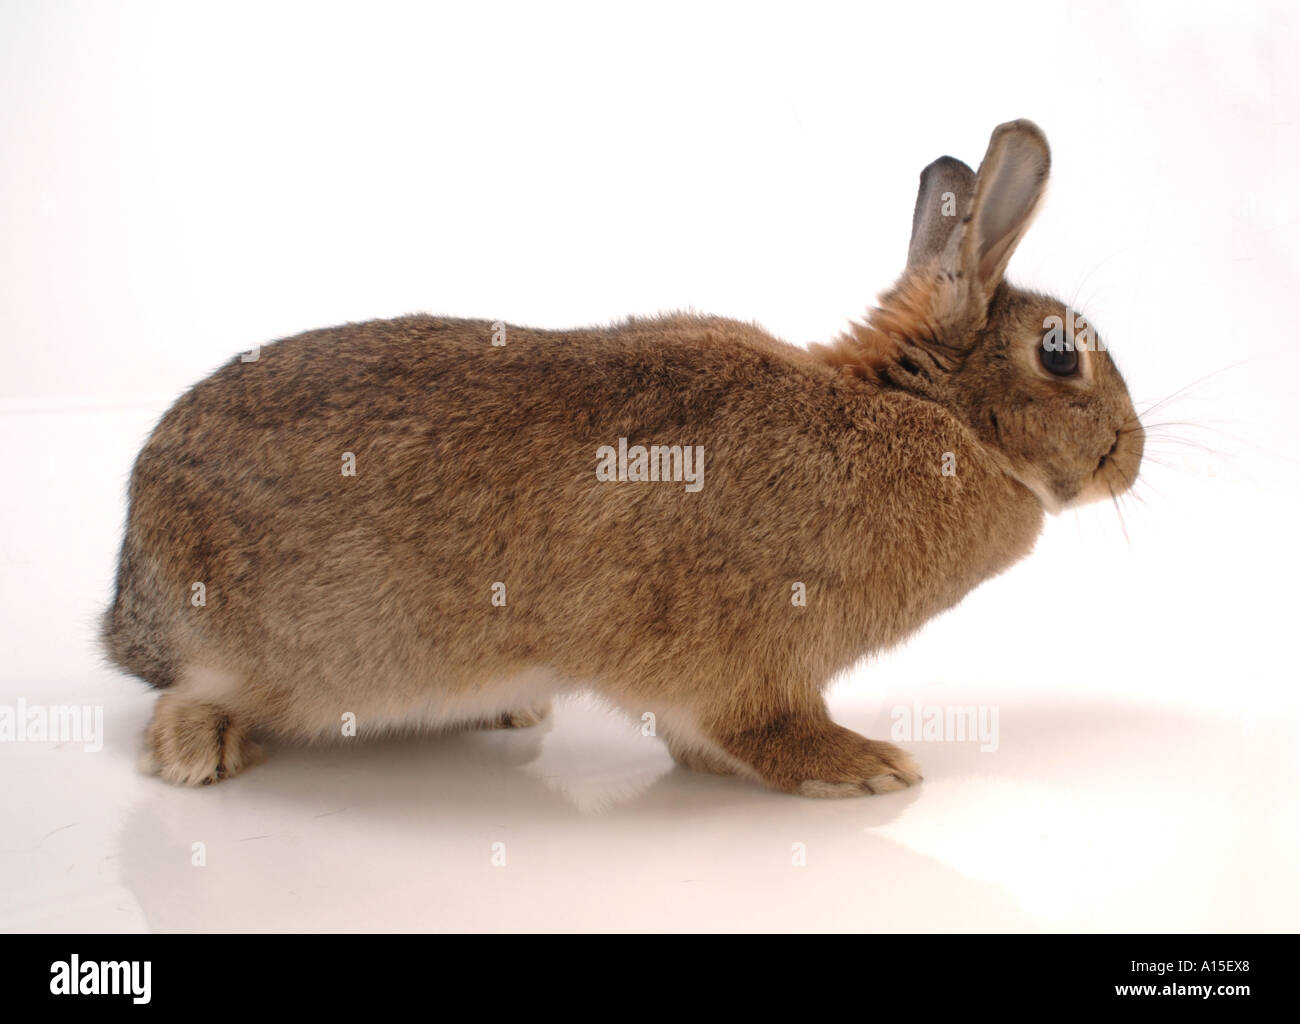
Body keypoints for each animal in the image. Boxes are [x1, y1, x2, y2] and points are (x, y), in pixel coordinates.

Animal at [102, 119, 1143, 795]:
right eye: (1060, 353)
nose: (1130, 456)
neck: (919, 410)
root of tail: (129, 594)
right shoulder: (747, 657)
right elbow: (759, 722)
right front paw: (865, 767)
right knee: (191, 698)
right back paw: (199, 753)